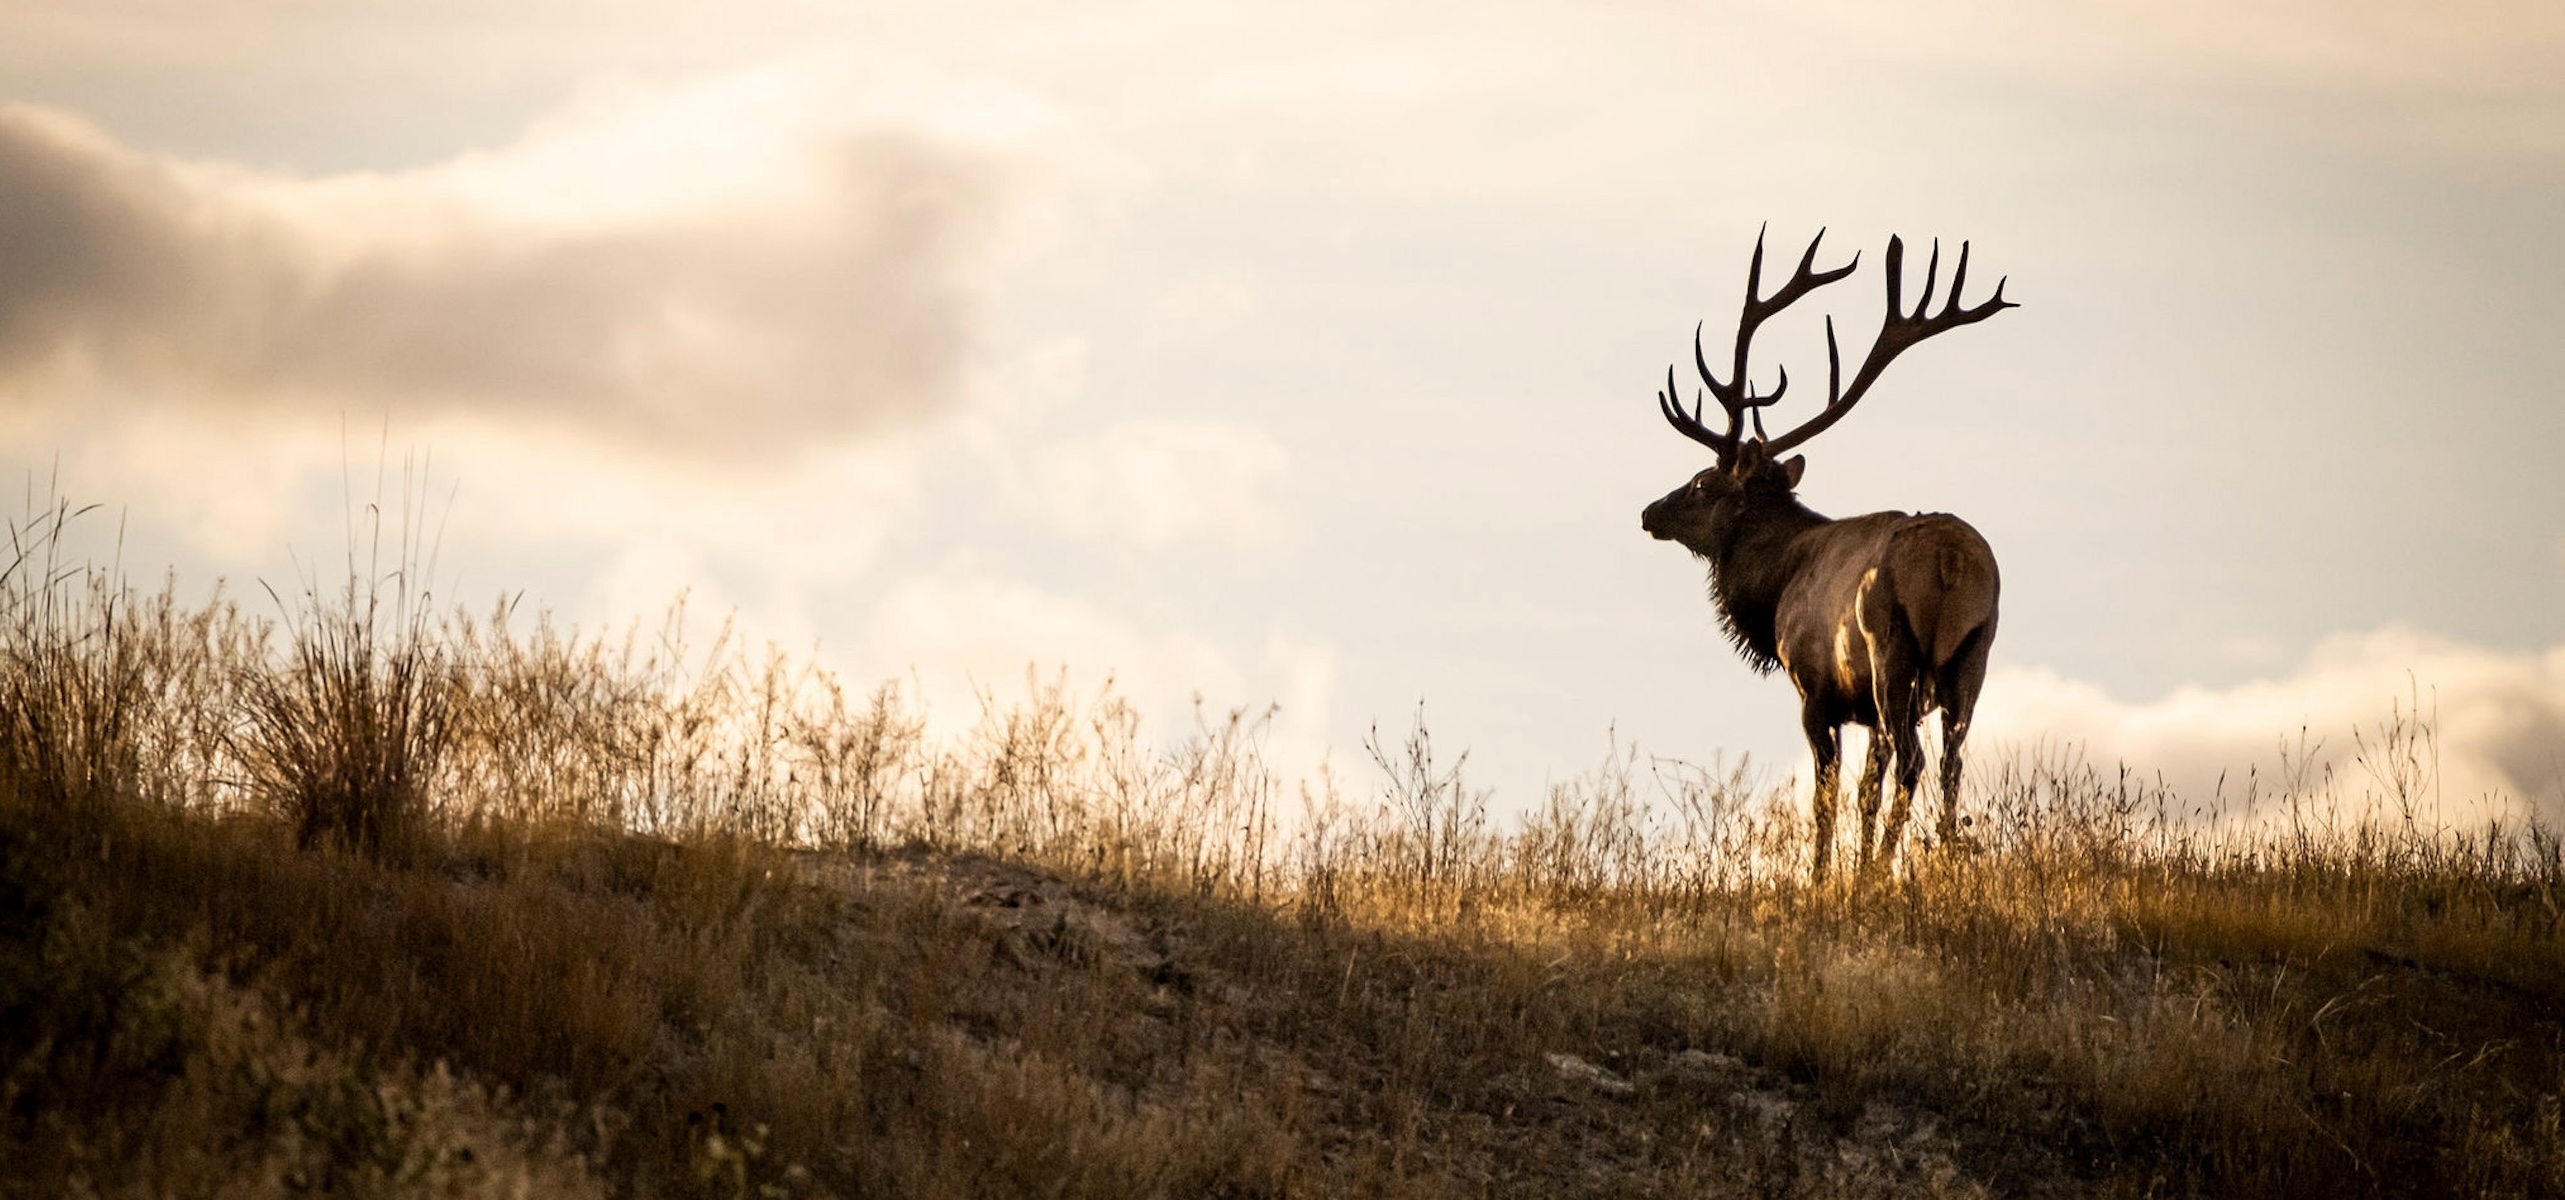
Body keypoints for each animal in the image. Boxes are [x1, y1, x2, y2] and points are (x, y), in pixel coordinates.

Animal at [1639, 227, 2011, 880]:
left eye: (1703, 483)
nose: (1649, 512)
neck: (1773, 590)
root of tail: (1950, 561)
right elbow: (1866, 789)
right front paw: (1857, 871)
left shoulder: (1816, 690)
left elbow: (1827, 796)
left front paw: (1824, 880)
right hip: (1974, 653)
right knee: (1950, 764)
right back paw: (1938, 862)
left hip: (1891, 649)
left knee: (1915, 761)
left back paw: (1887, 870)